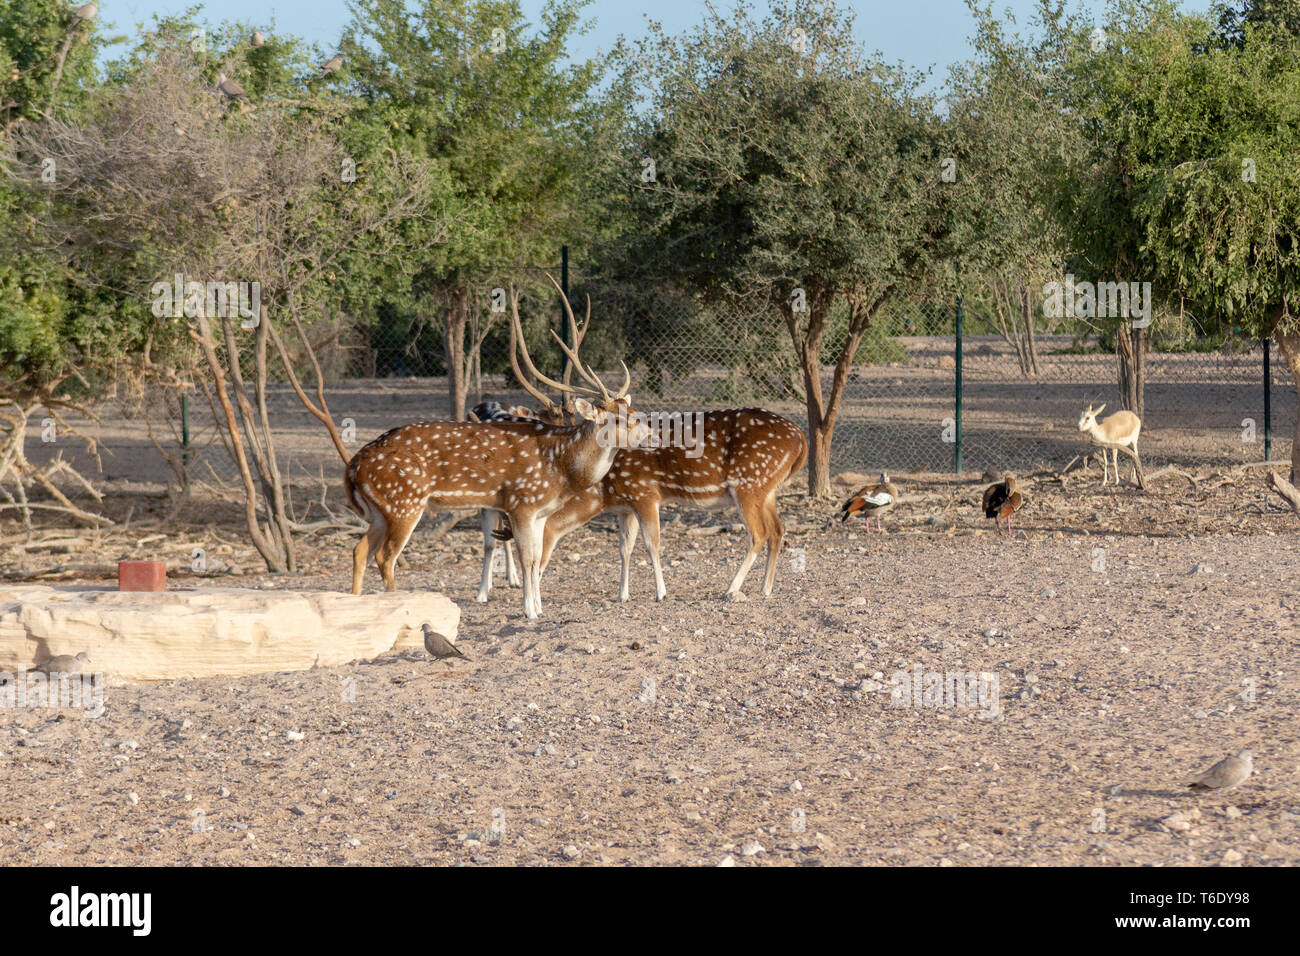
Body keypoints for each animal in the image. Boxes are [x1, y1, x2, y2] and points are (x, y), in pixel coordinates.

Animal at [345, 281, 647, 618]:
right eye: (616, 417)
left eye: (632, 409)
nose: (648, 429)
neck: (560, 469)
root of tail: (354, 467)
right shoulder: (521, 503)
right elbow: (528, 558)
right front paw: (529, 611)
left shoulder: (539, 511)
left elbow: (536, 557)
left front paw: (539, 608)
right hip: (404, 503)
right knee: (385, 557)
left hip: (379, 511)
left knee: (359, 550)